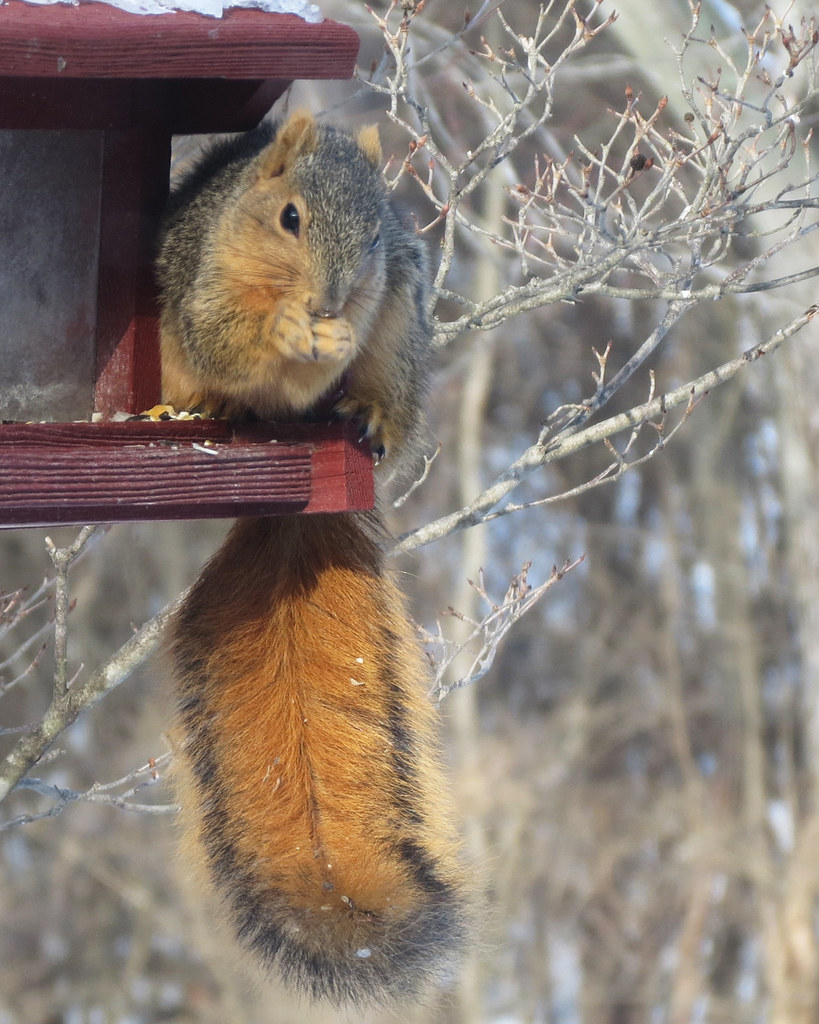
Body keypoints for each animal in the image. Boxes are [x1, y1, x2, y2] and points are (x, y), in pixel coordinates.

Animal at [155, 110, 465, 1007]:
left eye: (373, 235)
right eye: (289, 218)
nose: (327, 301)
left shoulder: (383, 287)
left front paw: (328, 340)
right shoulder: (206, 293)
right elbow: (231, 338)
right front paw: (287, 332)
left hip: (402, 334)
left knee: (384, 389)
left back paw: (366, 412)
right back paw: (215, 405)